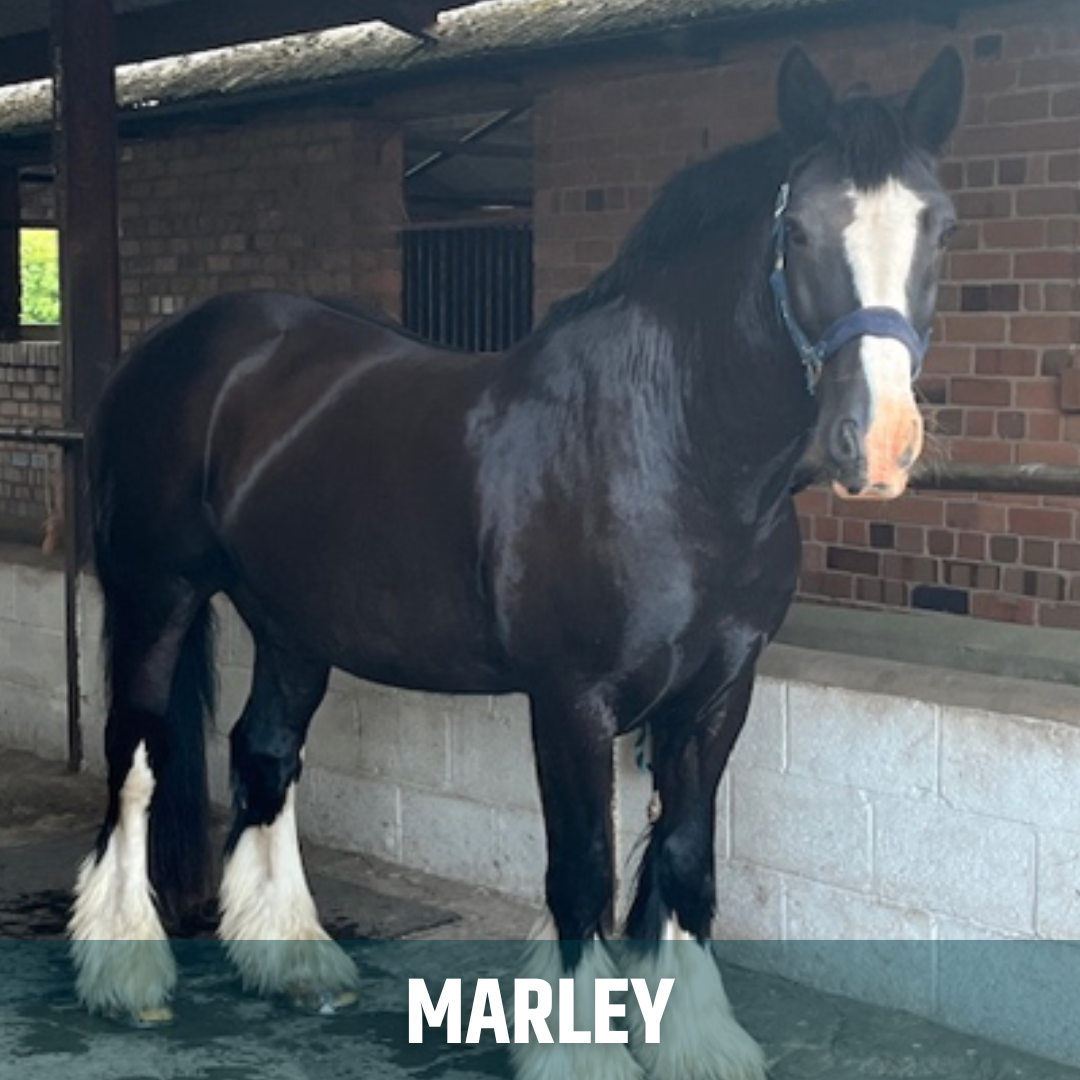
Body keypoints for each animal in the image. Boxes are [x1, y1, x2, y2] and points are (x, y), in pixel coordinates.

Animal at [69, 45, 962, 1080]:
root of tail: (179, 347)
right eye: (802, 229)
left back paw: (294, 961)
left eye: (940, 227)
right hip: (156, 592)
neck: (668, 451)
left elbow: (683, 855)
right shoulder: (572, 699)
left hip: (293, 621)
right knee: (137, 755)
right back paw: (127, 974)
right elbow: (581, 872)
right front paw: (579, 1049)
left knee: (263, 753)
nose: (879, 445)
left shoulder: (718, 695)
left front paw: (697, 1037)